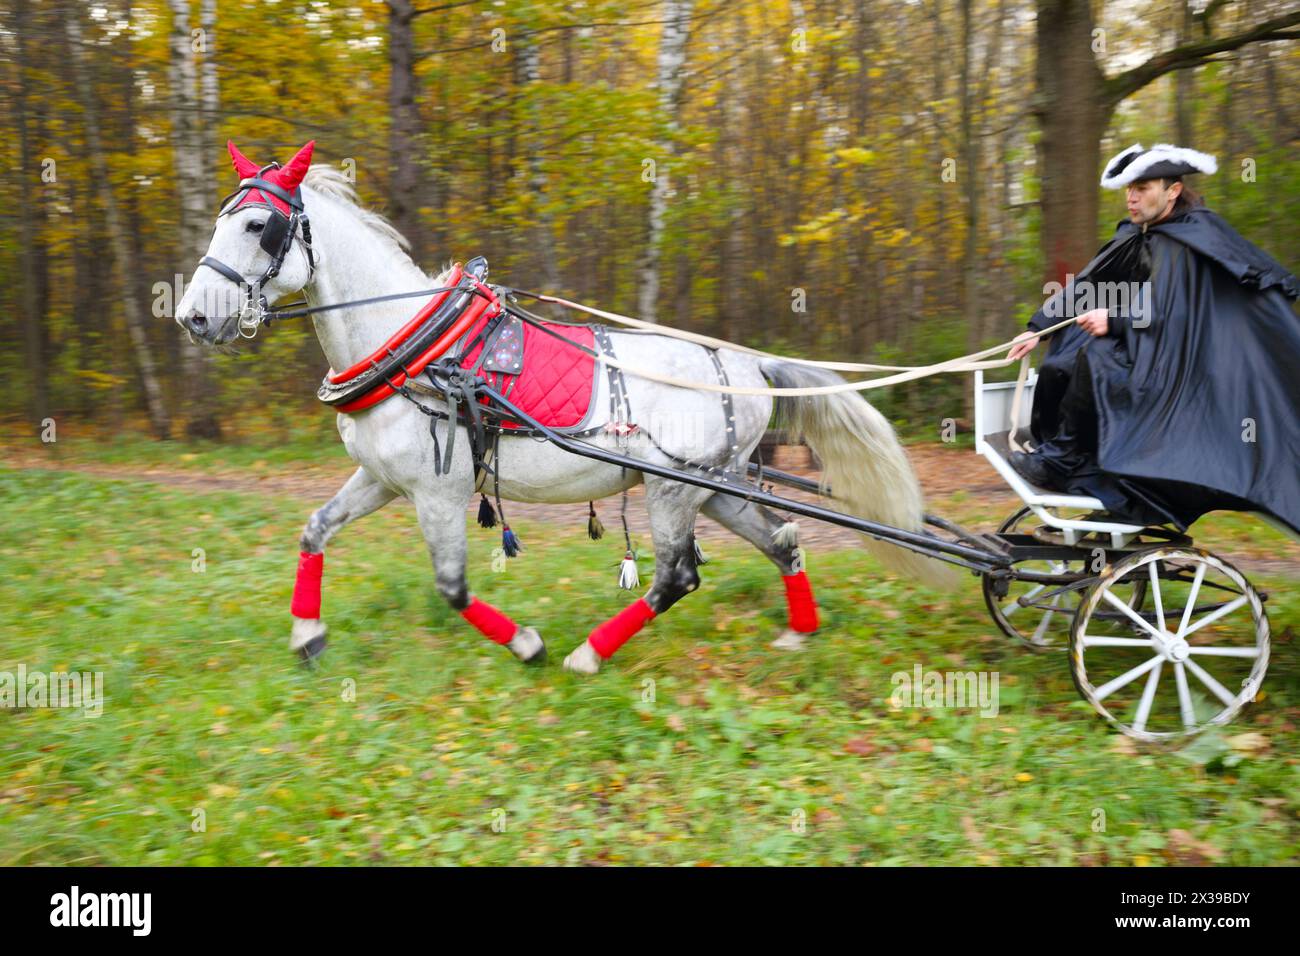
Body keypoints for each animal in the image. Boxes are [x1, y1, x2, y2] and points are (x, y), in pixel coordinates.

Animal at [175, 141, 950, 674]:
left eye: (258, 227)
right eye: (223, 220)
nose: (192, 317)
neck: (416, 345)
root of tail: (747, 365)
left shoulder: (437, 491)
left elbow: (452, 586)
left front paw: (527, 643)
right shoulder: (382, 480)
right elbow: (314, 531)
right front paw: (308, 635)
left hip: (675, 487)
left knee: (677, 575)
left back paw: (588, 654)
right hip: (720, 487)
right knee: (783, 541)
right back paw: (797, 632)